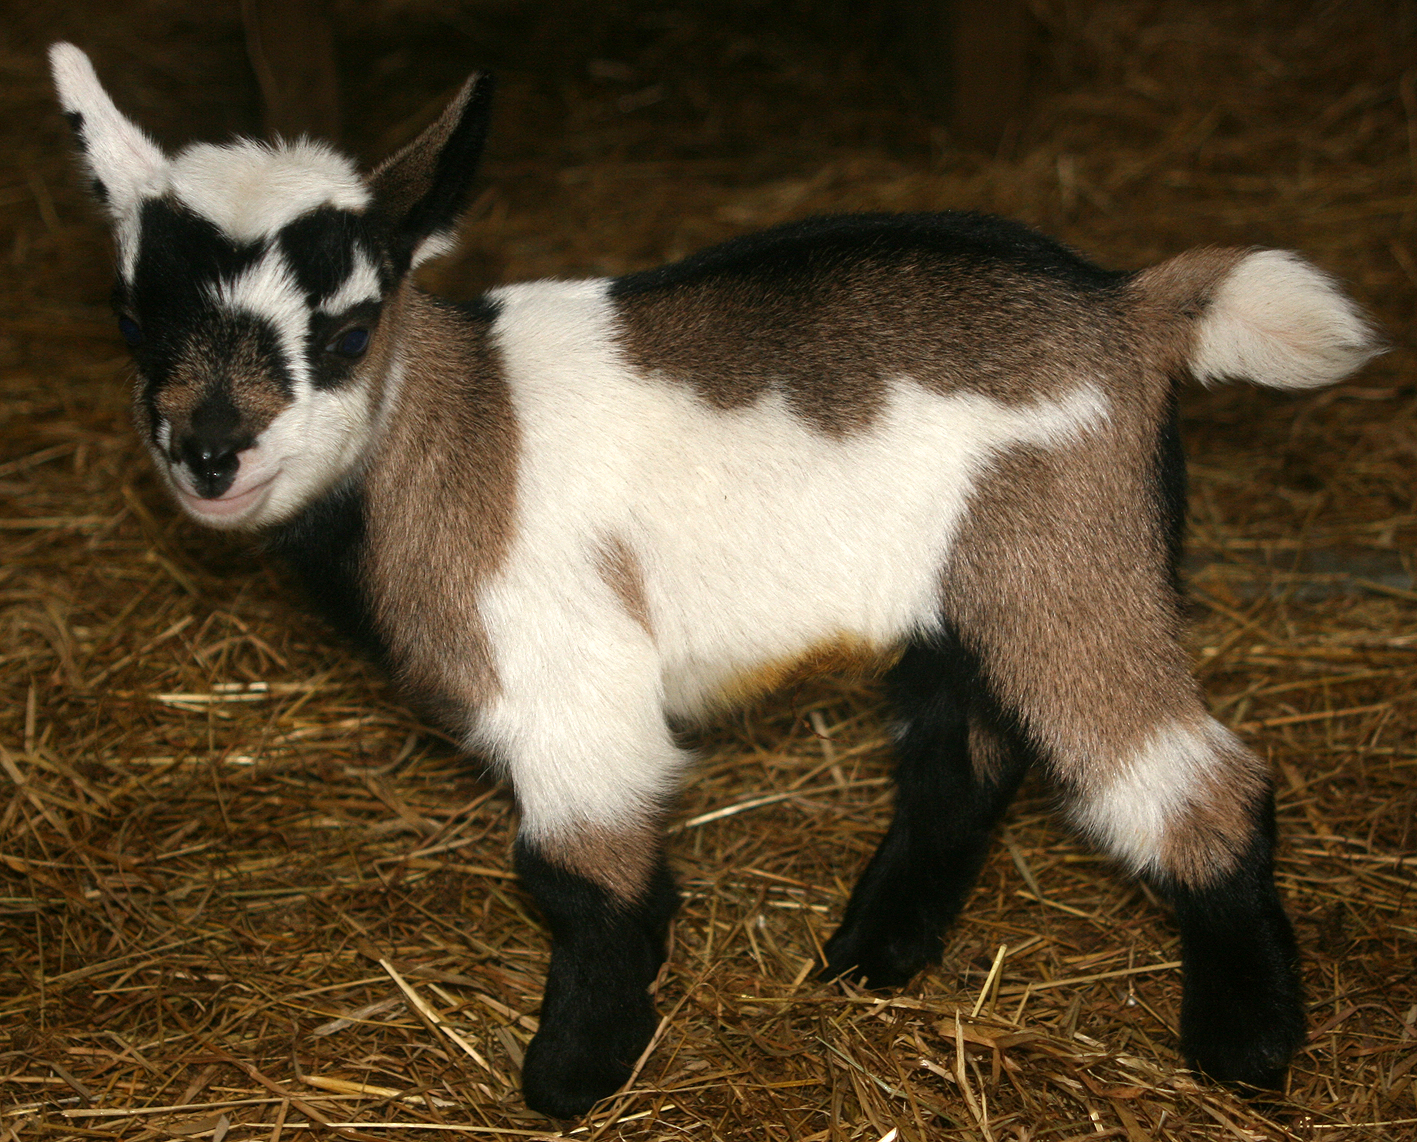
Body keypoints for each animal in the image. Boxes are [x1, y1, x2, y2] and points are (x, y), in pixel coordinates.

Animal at [50, 42, 1380, 1119]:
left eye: (346, 326)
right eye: (131, 317)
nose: (210, 448)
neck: (451, 432)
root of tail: (1131, 308)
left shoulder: (572, 684)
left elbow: (580, 875)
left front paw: (576, 1069)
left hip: (1066, 562)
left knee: (1190, 774)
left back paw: (1245, 1041)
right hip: (966, 591)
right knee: (961, 755)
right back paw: (873, 951)